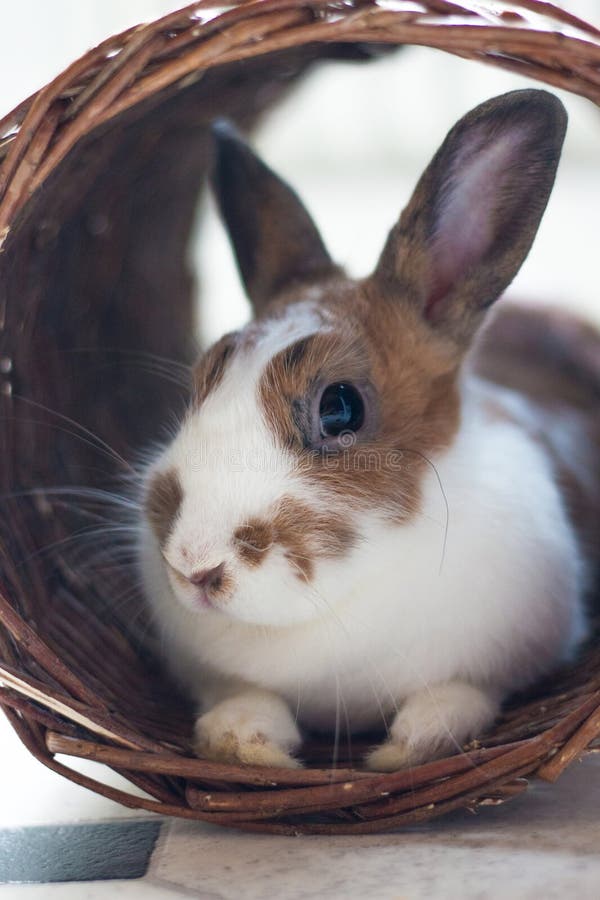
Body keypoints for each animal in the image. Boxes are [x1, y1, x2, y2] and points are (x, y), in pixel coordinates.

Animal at [138, 89, 600, 772]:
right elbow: (244, 698)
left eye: (340, 408)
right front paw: (243, 740)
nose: (193, 565)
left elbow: (460, 693)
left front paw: (409, 745)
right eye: (199, 381)